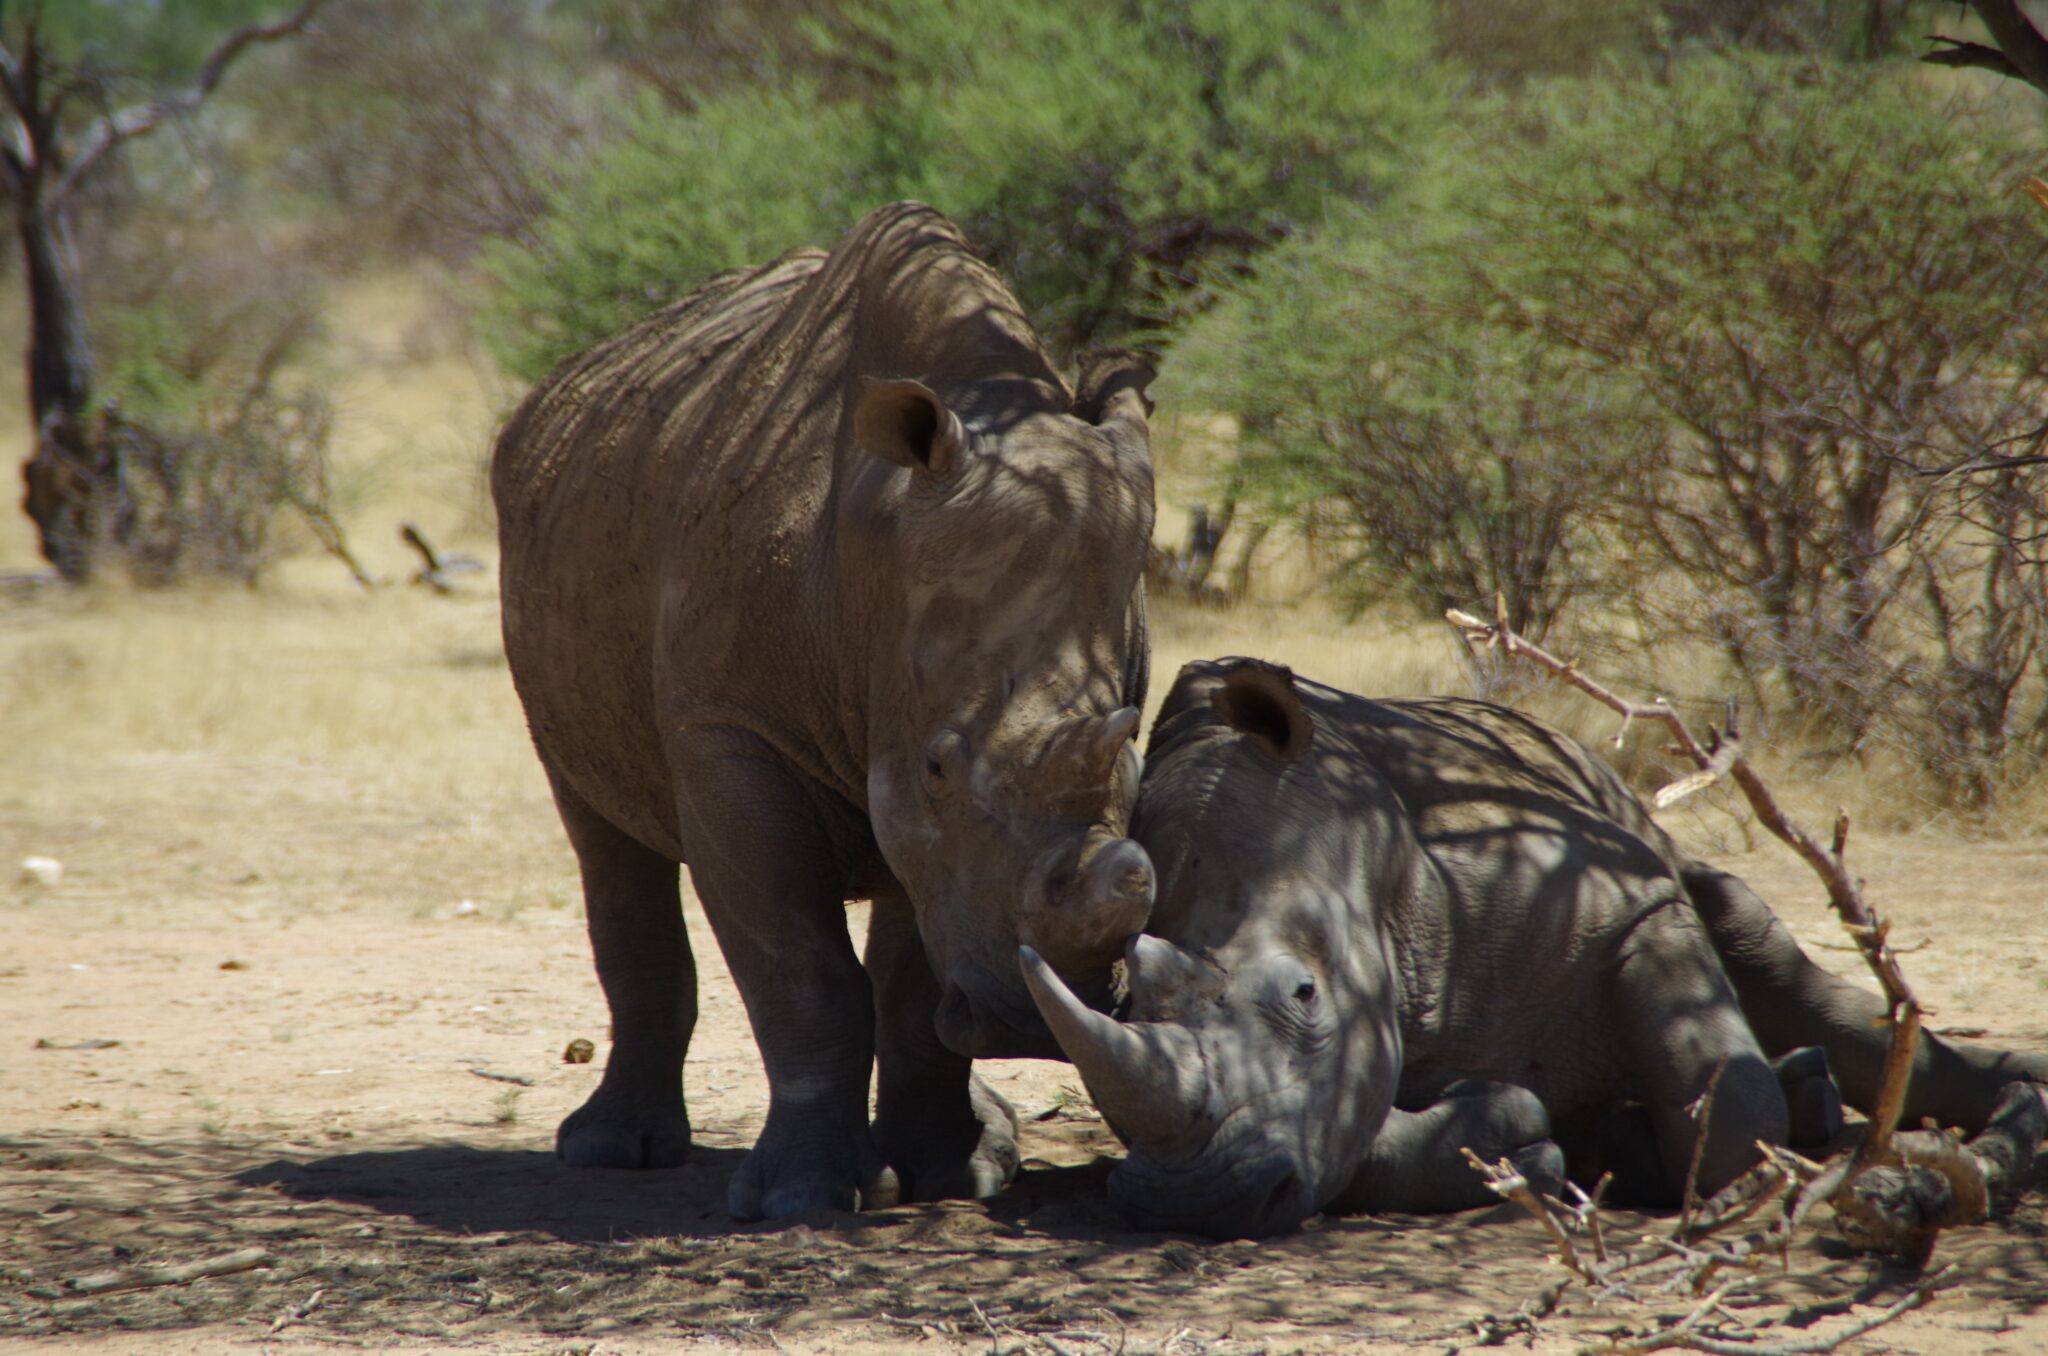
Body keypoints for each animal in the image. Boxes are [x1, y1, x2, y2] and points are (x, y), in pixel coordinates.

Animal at [491, 203, 1158, 1220]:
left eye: (1135, 757)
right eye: (938, 767)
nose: (1034, 1018)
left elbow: (912, 975)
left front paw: (956, 1175)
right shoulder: (726, 725)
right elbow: (803, 971)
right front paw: (803, 1201)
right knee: (599, 829)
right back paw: (610, 1151)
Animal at [1022, 658, 2048, 1238]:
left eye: (1306, 996)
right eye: (1125, 999)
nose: (1187, 1208)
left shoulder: (1620, 898)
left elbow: (1721, 1103)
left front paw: (1717, 1169)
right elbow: (1353, 1145)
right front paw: (1526, 1140)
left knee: (1761, 951)